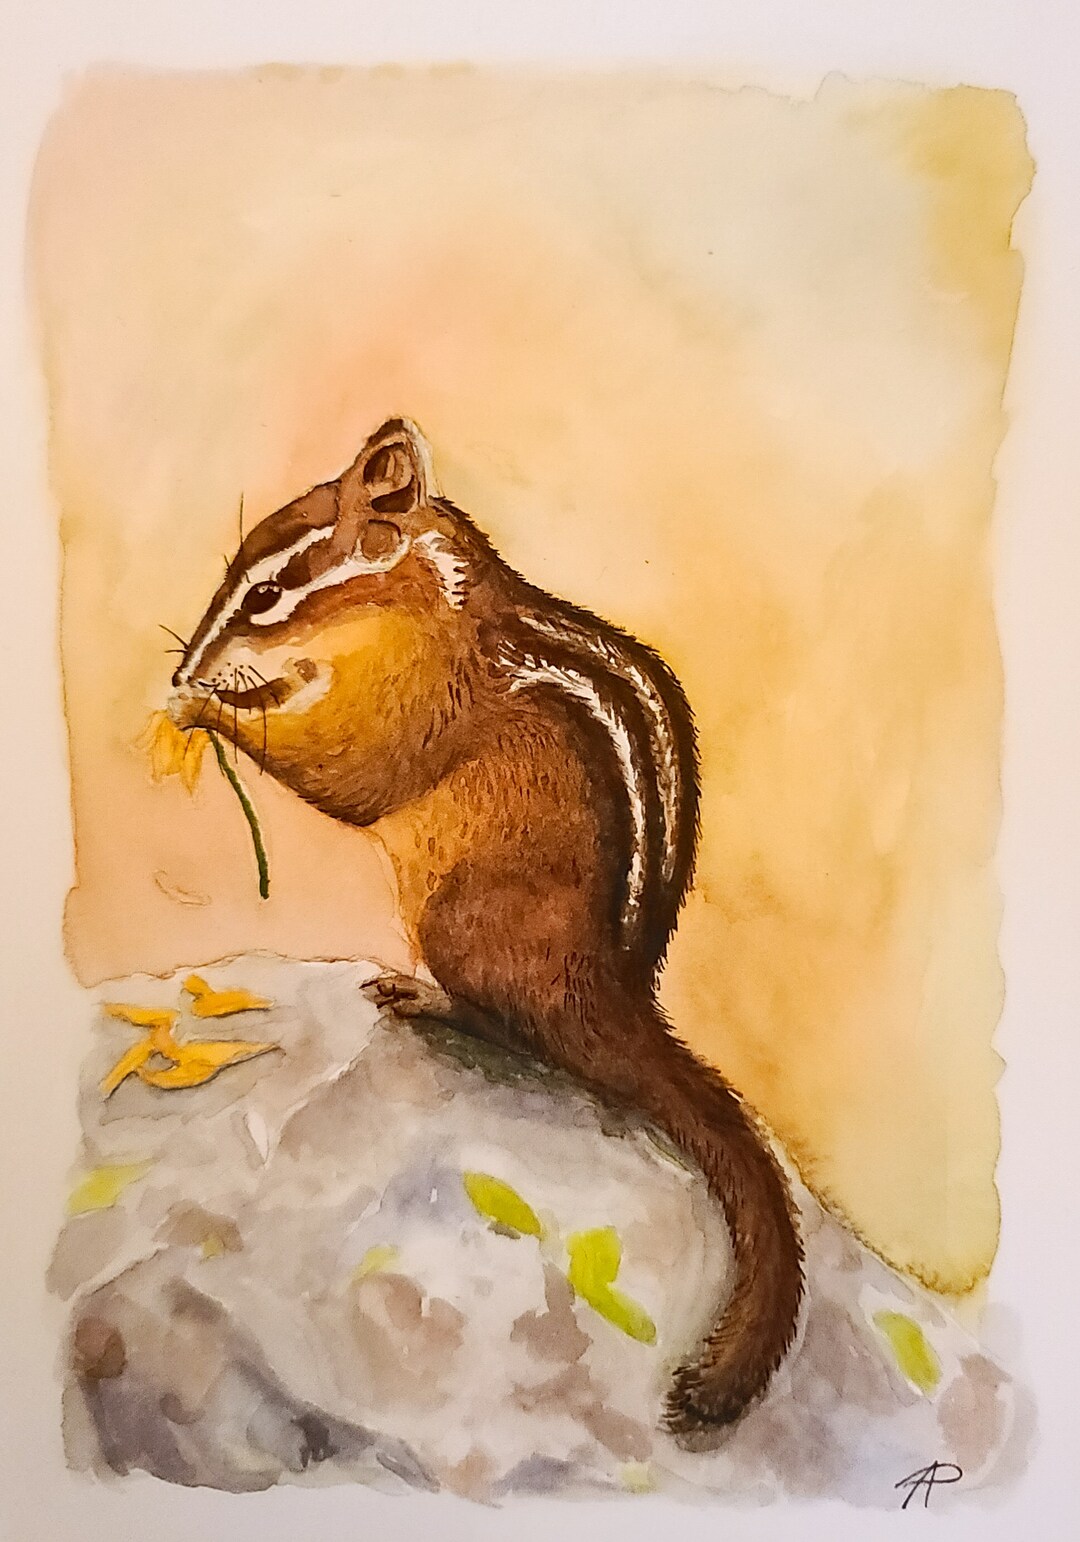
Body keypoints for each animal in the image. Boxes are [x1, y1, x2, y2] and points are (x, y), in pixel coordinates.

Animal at [168, 417, 804, 1443]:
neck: (430, 593)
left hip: (463, 924)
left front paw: (207, 706)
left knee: (516, 1031)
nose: (185, 665)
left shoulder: (414, 704)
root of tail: (616, 993)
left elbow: (350, 773)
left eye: (264, 595)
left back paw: (425, 997)